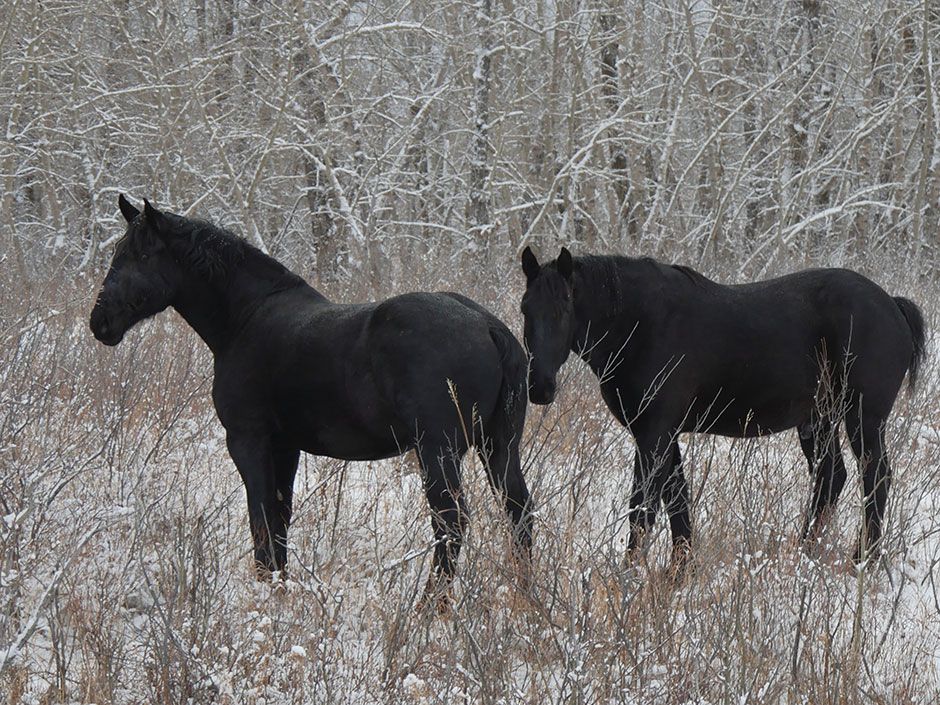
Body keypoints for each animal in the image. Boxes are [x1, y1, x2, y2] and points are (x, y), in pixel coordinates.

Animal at [90, 194, 533, 604]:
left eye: (140, 255)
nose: (100, 322)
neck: (246, 318)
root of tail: (486, 325)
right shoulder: (285, 447)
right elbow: (280, 518)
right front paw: (280, 588)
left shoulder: (248, 441)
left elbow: (262, 519)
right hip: (499, 446)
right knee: (519, 513)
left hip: (438, 452)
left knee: (451, 522)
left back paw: (429, 608)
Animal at [519, 246, 925, 568]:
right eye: (526, 310)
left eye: (564, 308)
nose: (539, 386)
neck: (641, 324)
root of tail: (892, 304)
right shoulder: (661, 434)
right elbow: (676, 500)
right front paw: (679, 572)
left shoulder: (653, 434)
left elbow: (643, 508)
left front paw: (631, 577)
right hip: (819, 420)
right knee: (830, 477)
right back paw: (805, 553)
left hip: (863, 418)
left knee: (876, 476)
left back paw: (863, 559)